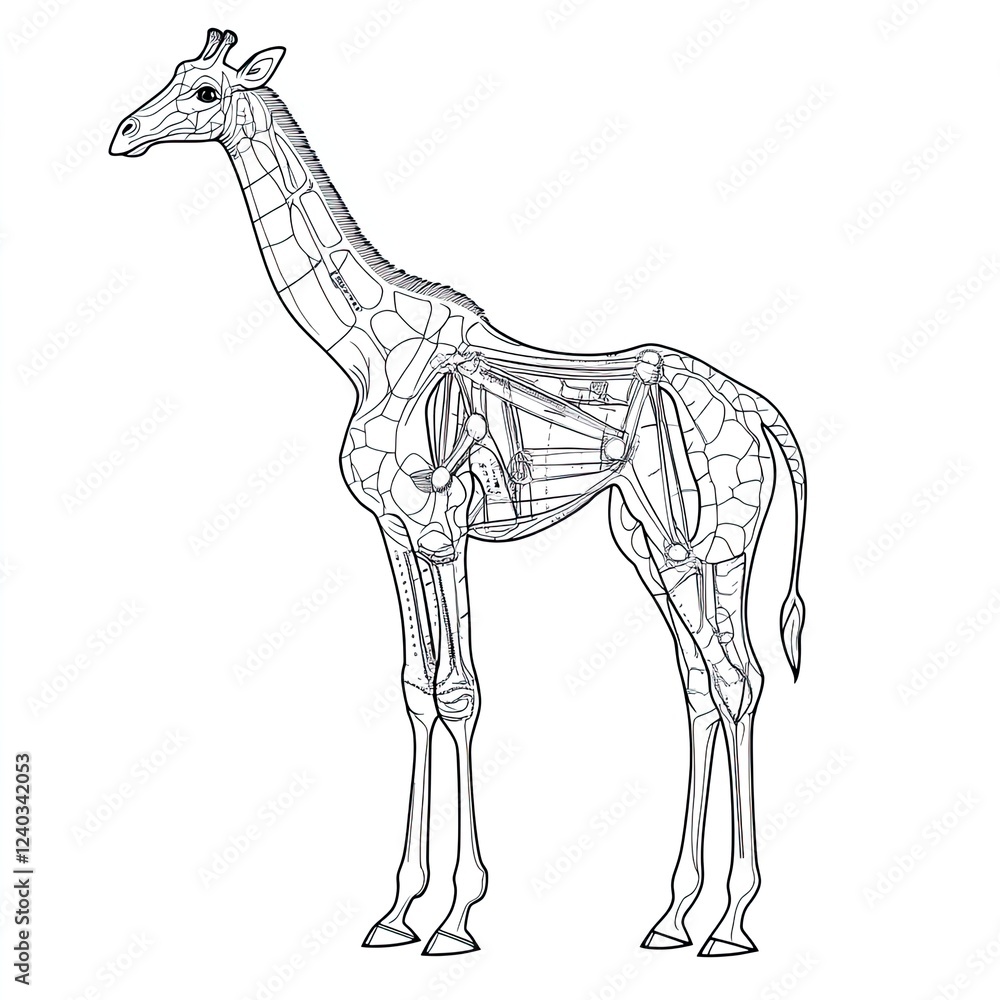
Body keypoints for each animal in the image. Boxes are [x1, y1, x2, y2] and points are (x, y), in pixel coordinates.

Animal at [110, 30, 807, 958]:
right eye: (174, 76)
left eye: (206, 91)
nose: (122, 133)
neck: (367, 350)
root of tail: (761, 411)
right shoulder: (396, 531)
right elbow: (417, 687)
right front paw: (399, 912)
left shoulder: (444, 529)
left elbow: (462, 689)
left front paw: (455, 917)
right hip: (656, 549)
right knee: (701, 686)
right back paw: (670, 918)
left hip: (724, 544)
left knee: (739, 680)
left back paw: (730, 922)